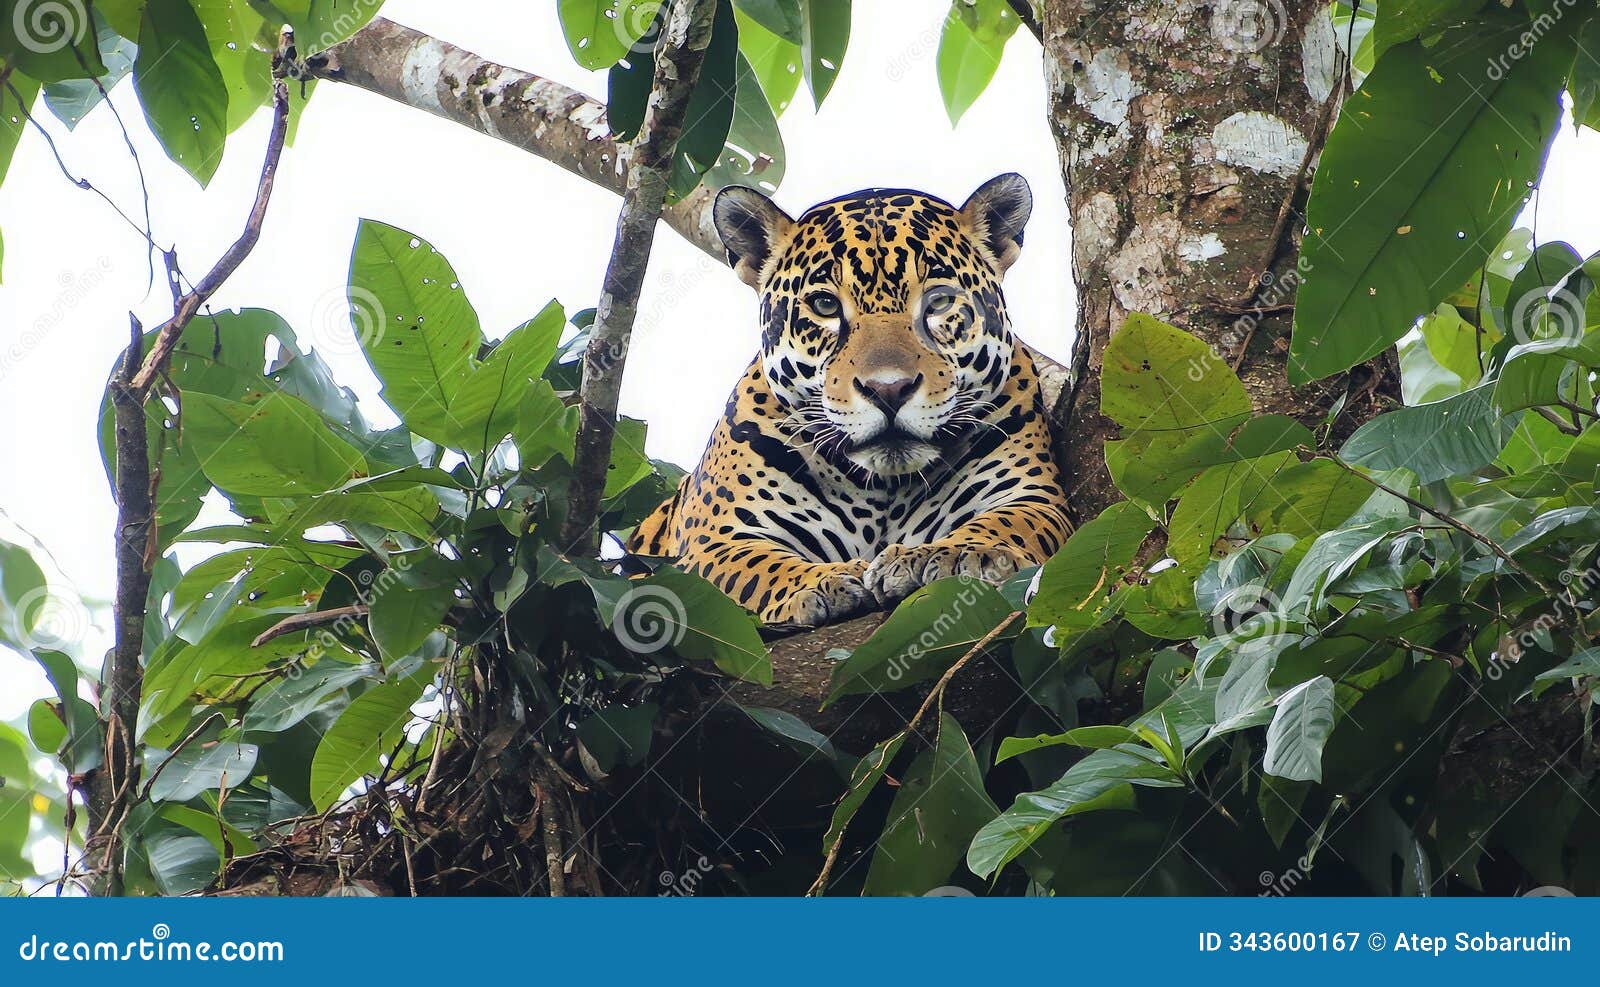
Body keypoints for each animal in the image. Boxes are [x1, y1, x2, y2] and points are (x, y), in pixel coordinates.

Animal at [627, 173, 1073, 628]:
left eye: (940, 302)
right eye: (825, 305)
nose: (888, 389)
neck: (883, 485)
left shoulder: (1034, 497)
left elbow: (1004, 523)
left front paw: (956, 553)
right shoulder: (715, 539)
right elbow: (757, 567)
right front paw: (825, 580)